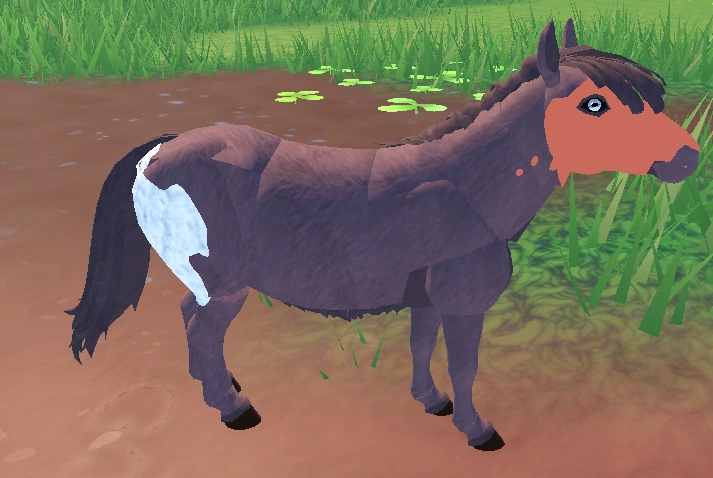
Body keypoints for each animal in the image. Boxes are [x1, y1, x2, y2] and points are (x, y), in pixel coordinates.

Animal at [67, 18, 700, 451]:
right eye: (594, 104)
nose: (689, 159)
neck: (465, 187)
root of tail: (161, 150)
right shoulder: (463, 302)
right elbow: (466, 365)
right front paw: (477, 430)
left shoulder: (426, 296)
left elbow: (422, 348)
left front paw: (432, 403)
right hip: (222, 283)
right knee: (202, 329)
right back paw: (232, 408)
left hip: (207, 280)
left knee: (188, 318)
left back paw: (219, 384)